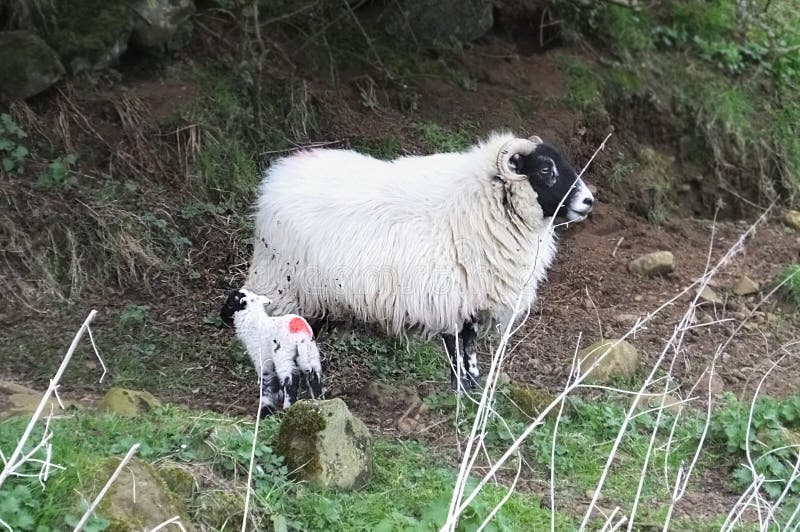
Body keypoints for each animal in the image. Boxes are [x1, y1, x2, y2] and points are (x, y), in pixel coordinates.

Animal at [221, 288, 323, 417]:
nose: (221, 315)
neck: (255, 321)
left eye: (230, 304)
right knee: (315, 377)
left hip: (283, 355)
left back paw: (287, 408)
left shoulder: (262, 359)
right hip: (311, 354)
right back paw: (320, 403)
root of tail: (301, 334)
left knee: (291, 379)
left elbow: (267, 382)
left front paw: (265, 408)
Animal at [242, 132, 595, 390]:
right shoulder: (450, 293)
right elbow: (455, 347)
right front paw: (461, 390)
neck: (480, 204)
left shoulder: (470, 296)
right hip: (282, 283)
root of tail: (277, 175)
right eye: (545, 170)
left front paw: (475, 386)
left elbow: (469, 346)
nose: (589, 201)